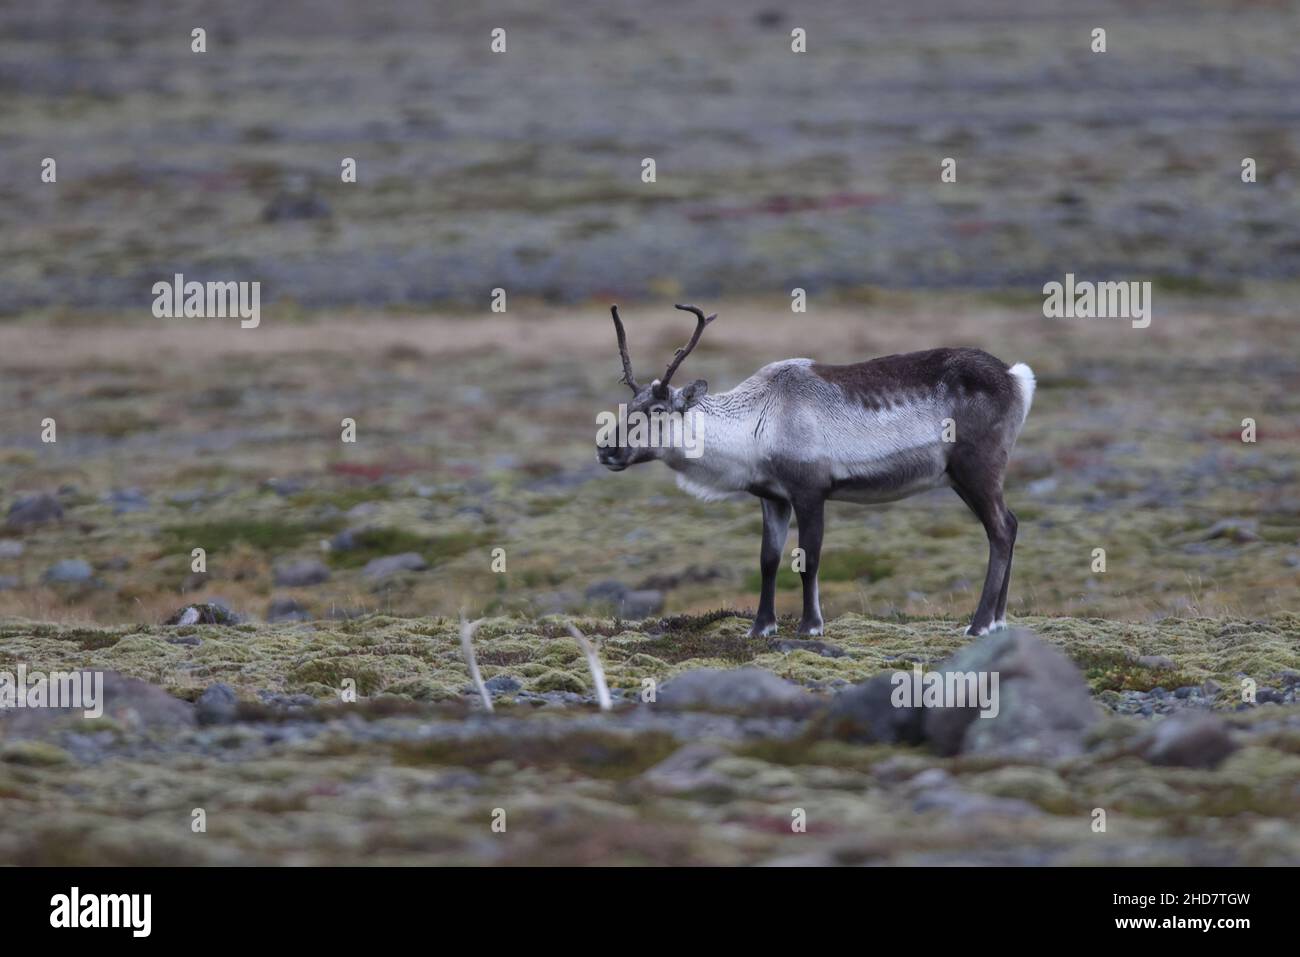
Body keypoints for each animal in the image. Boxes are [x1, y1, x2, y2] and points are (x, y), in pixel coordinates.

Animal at [595, 304, 1036, 639]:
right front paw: (761, 627)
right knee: (1011, 524)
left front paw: (810, 625)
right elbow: (768, 559)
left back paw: (980, 624)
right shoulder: (772, 497)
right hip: (966, 476)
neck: (756, 421)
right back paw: (998, 620)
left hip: (977, 467)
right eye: (627, 406)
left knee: (1001, 529)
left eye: (657, 410)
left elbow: (809, 557)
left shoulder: (810, 490)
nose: (605, 449)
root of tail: (1017, 378)